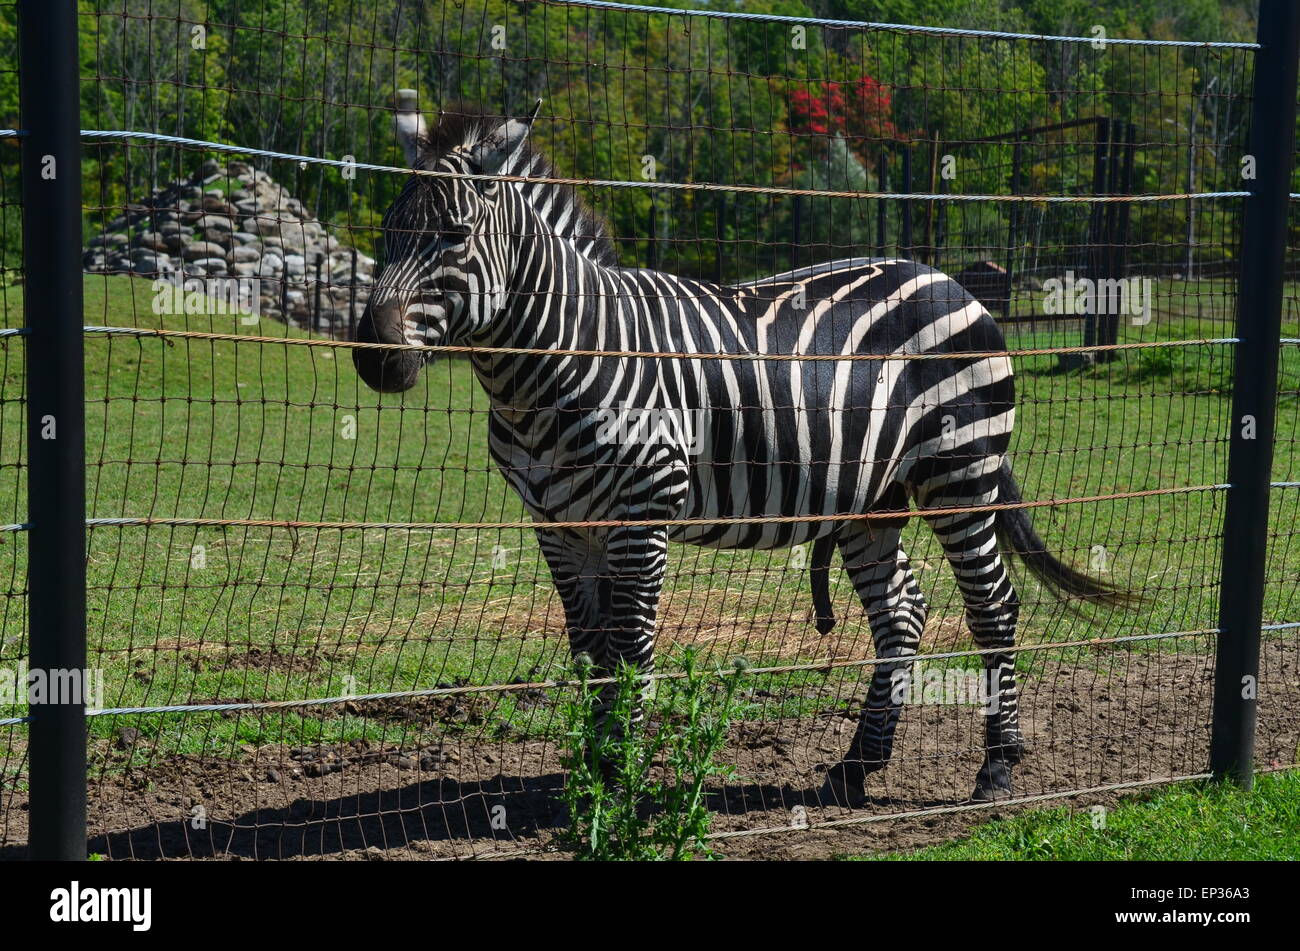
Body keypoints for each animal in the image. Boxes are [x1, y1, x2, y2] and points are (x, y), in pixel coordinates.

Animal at [352, 102, 1127, 804]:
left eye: (455, 235)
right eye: (388, 232)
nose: (372, 358)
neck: (559, 361)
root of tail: (950, 280)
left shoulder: (643, 513)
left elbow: (631, 649)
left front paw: (621, 781)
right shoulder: (558, 526)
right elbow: (590, 653)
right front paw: (593, 776)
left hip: (959, 471)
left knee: (993, 604)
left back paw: (996, 767)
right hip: (873, 497)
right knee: (902, 609)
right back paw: (856, 767)